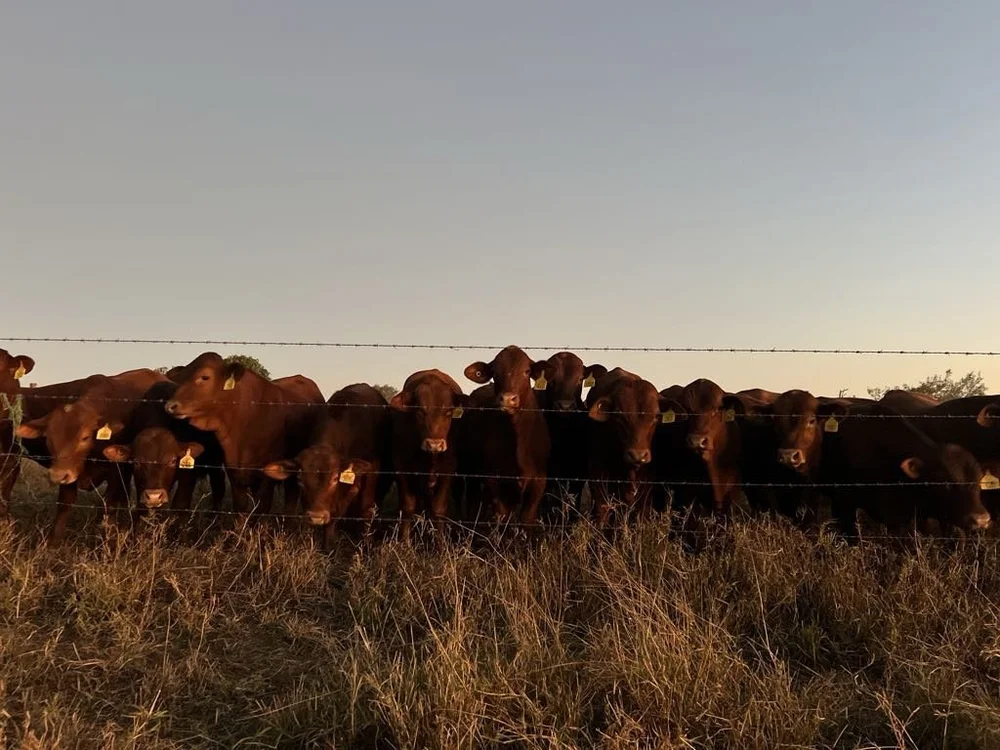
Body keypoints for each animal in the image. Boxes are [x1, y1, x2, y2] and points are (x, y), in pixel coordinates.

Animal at [16, 368, 167, 542]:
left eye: (85, 437)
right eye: (48, 437)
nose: (57, 475)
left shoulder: (116, 470)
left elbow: (110, 504)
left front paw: (110, 539)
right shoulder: (71, 472)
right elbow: (64, 504)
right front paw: (54, 541)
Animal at [164, 353, 325, 518]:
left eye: (205, 377)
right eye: (181, 379)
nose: (170, 406)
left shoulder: (267, 478)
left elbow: (262, 509)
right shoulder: (235, 475)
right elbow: (241, 509)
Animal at [388, 370, 467, 542]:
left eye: (448, 412)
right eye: (419, 412)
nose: (435, 444)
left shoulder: (448, 467)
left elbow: (439, 508)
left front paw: (440, 543)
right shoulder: (401, 466)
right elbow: (408, 506)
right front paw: (404, 542)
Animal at [462, 346, 550, 532]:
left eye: (526, 371)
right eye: (495, 372)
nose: (508, 399)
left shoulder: (539, 480)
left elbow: (527, 518)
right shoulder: (493, 478)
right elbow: (502, 516)